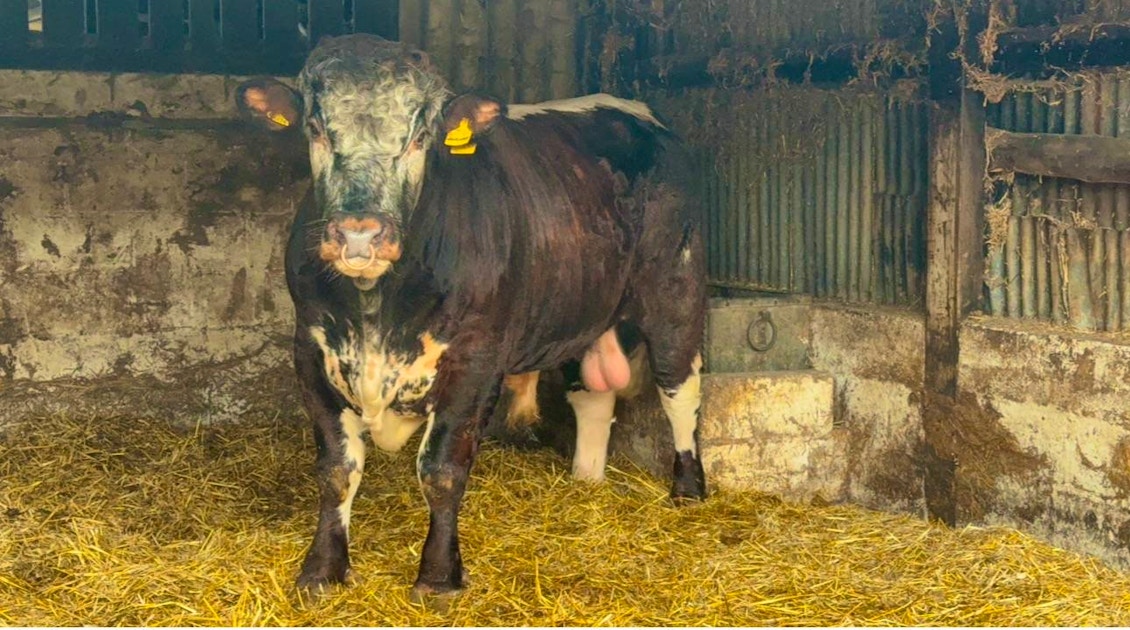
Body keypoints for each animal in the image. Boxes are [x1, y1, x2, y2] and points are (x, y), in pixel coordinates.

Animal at [237, 33, 707, 598]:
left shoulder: (476, 358)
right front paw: (322, 570)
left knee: (681, 389)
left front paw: (439, 577)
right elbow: (336, 468)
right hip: (579, 311)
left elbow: (442, 468)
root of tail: (639, 114)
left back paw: (688, 489)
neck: (376, 312)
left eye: (421, 137)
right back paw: (585, 478)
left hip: (675, 285)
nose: (359, 233)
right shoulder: (310, 348)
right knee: (593, 396)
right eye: (316, 128)